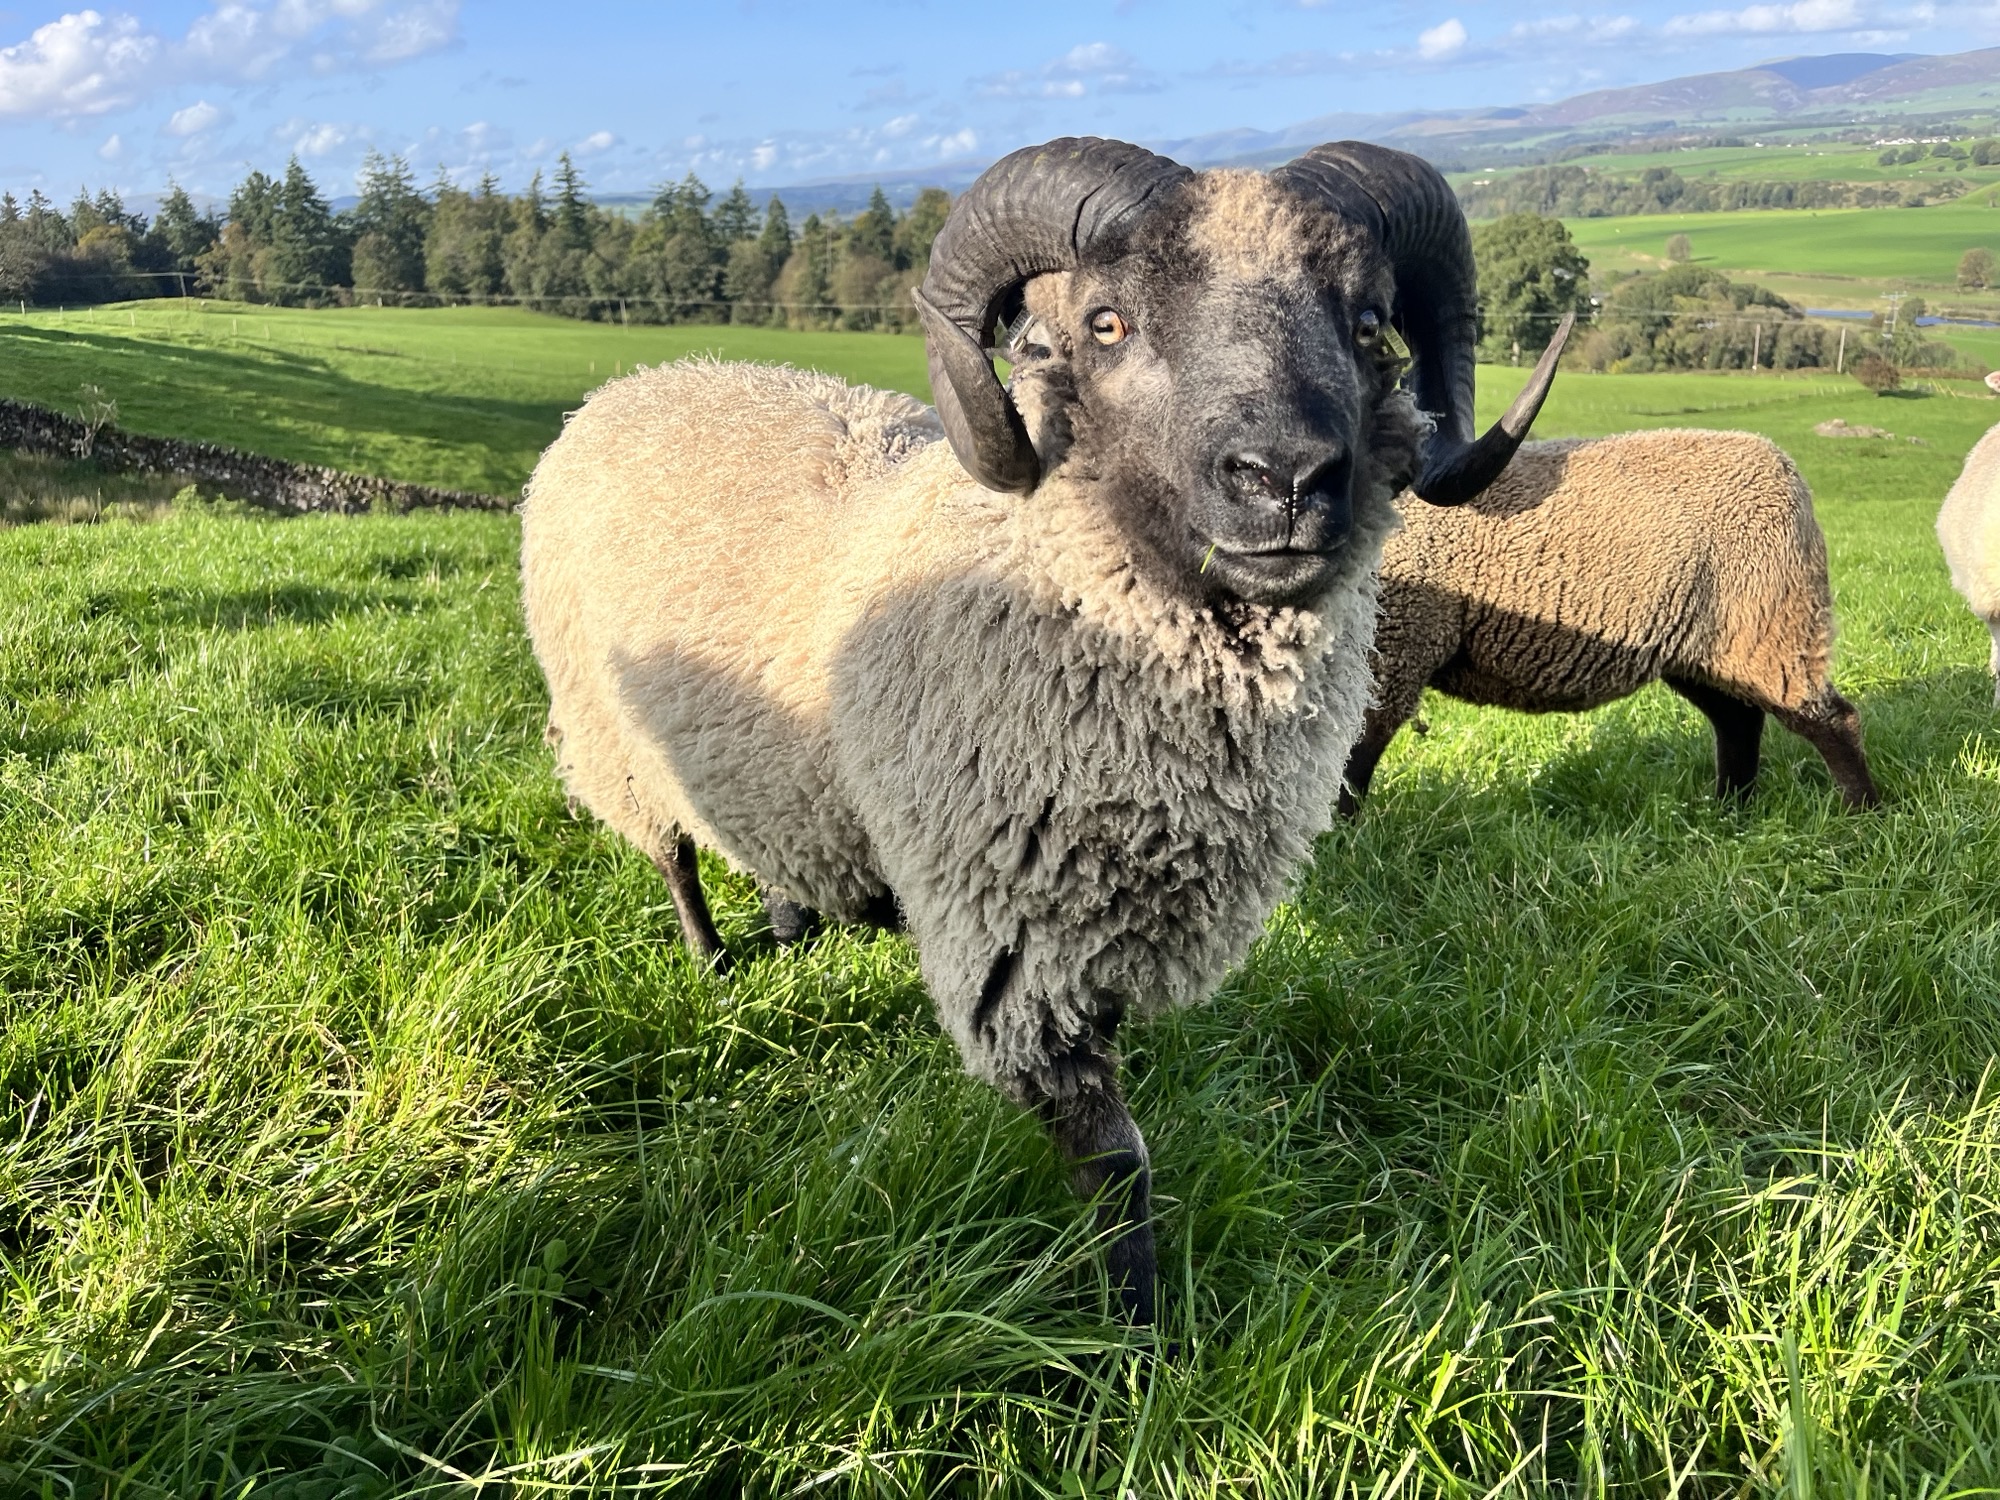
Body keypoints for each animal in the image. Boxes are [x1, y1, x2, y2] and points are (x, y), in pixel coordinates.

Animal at [519, 136, 1570, 1326]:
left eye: (1366, 322)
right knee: (672, 855)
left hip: (767, 767)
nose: (1287, 481)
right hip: (615, 734)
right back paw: (711, 964)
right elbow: (1113, 1161)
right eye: (1106, 323)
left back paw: (792, 927)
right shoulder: (1013, 943)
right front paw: (1137, 1337)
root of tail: (636, 379)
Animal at [1339, 428, 1880, 816]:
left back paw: (1861, 816)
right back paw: (1731, 812)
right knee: (1738, 720)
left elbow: (1349, 762)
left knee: (1832, 720)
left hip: (1774, 626)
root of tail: (1785, 468)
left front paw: (1342, 851)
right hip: (1706, 648)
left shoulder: (1393, 650)